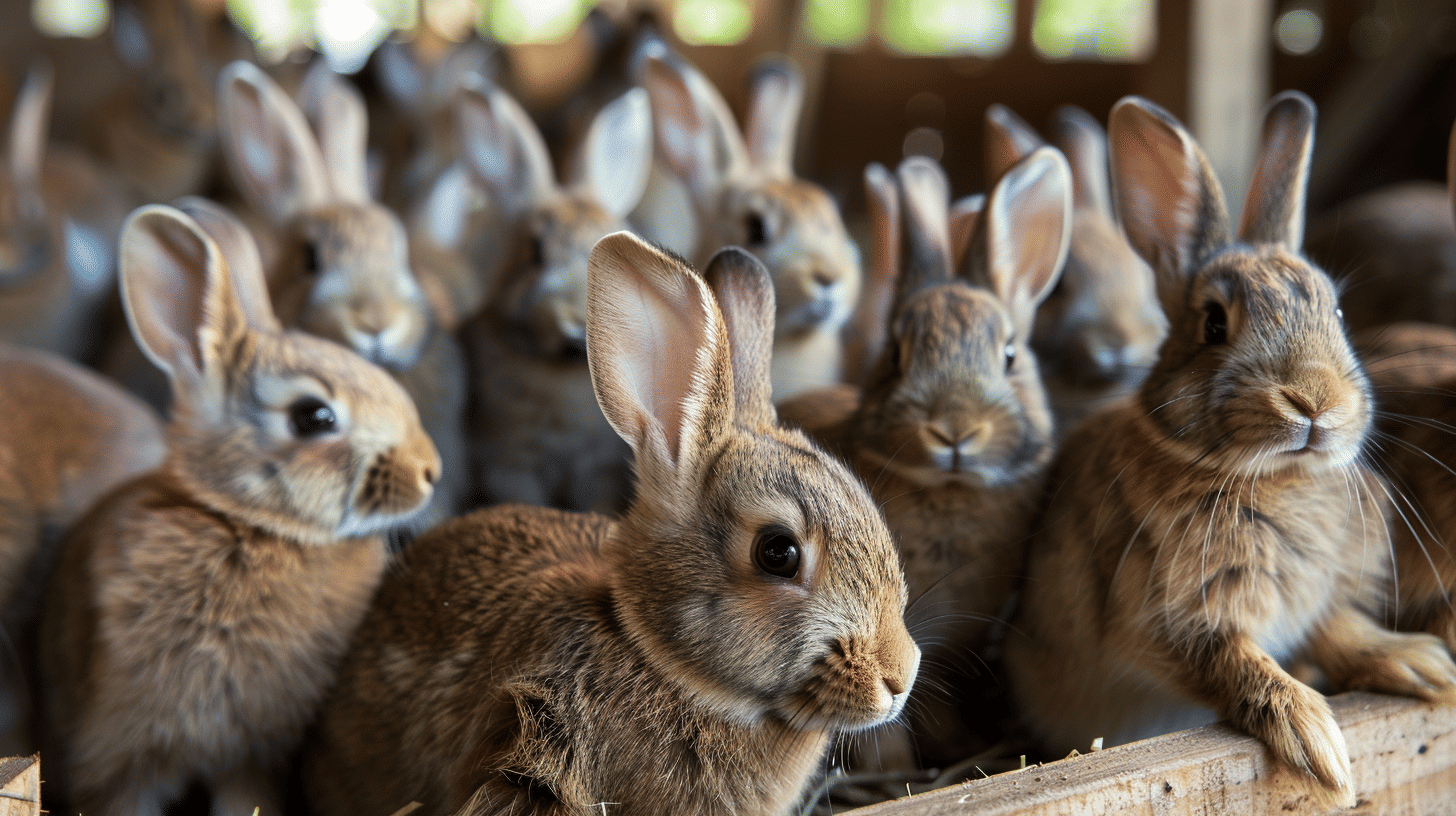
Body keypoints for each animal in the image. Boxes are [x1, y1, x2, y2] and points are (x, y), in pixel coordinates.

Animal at [779, 149, 1070, 768]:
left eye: (1011, 355)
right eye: (894, 354)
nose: (954, 430)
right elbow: (878, 721)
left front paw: (959, 747)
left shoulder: (947, 649)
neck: (949, 491)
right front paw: (895, 768)